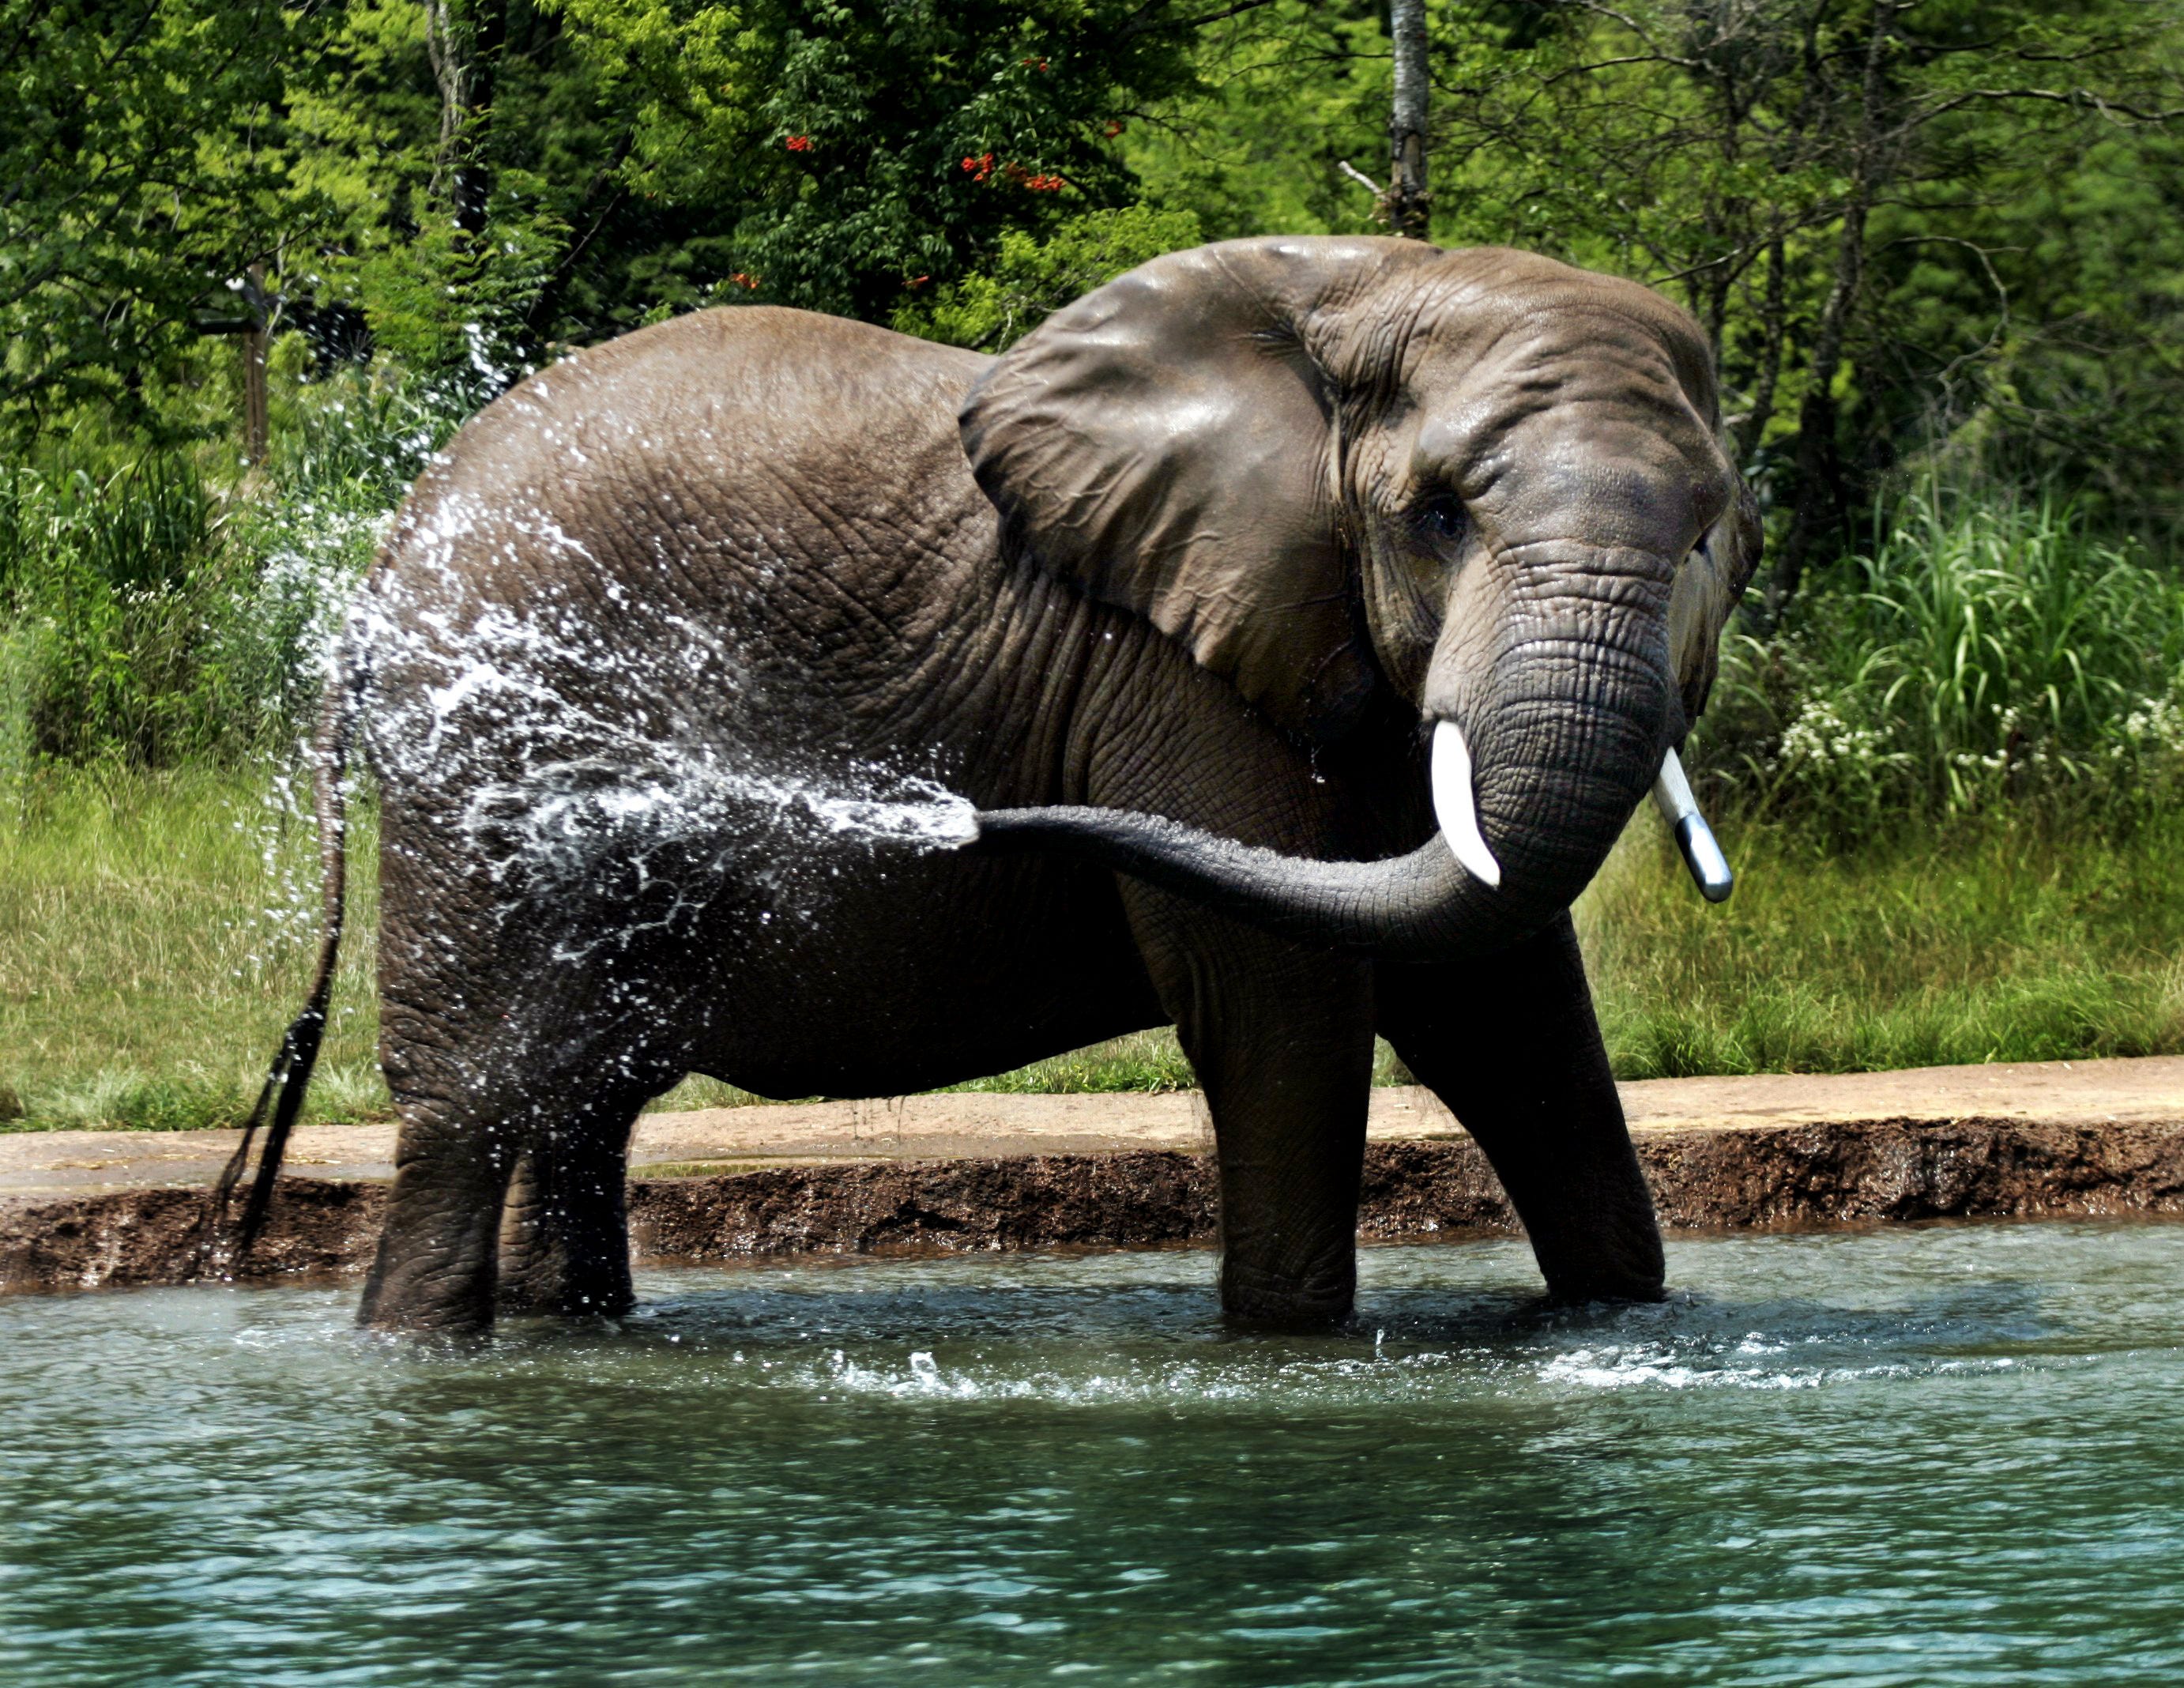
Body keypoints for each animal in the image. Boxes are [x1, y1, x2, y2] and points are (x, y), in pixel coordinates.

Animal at [216, 236, 1758, 1334]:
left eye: (1708, 530)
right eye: (1437, 516)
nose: (951, 815)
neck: (1370, 280)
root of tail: (383, 560)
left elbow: (1510, 1007)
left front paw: (1623, 1316)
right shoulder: (1173, 663)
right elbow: (1281, 999)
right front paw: (1286, 1350)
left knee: (582, 1091)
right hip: (484, 767)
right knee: (476, 1101)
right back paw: (422, 1346)